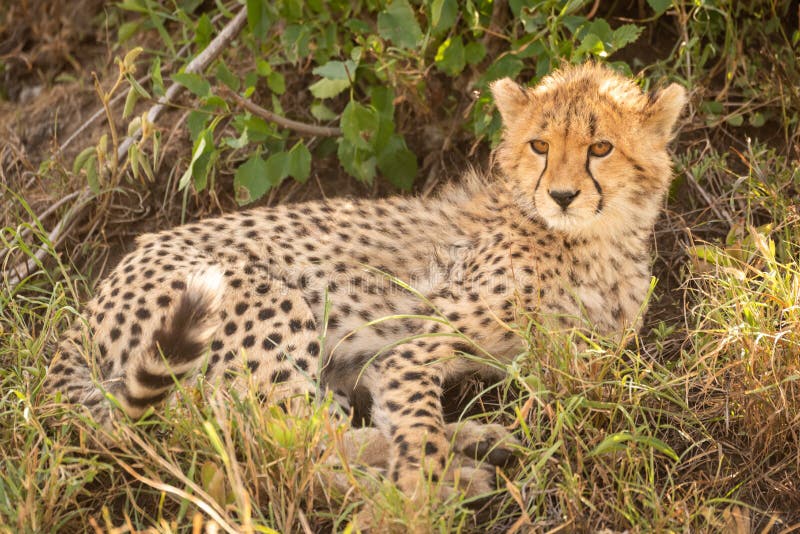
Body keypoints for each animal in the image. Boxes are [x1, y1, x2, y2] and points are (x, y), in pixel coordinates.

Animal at [44, 62, 687, 499]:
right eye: (540, 145)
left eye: (601, 147)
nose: (561, 194)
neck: (593, 242)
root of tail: (93, 301)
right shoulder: (413, 341)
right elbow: (413, 422)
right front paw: (421, 497)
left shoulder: (584, 351)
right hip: (266, 303)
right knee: (295, 451)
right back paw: (454, 474)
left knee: (299, 438)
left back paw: (475, 443)